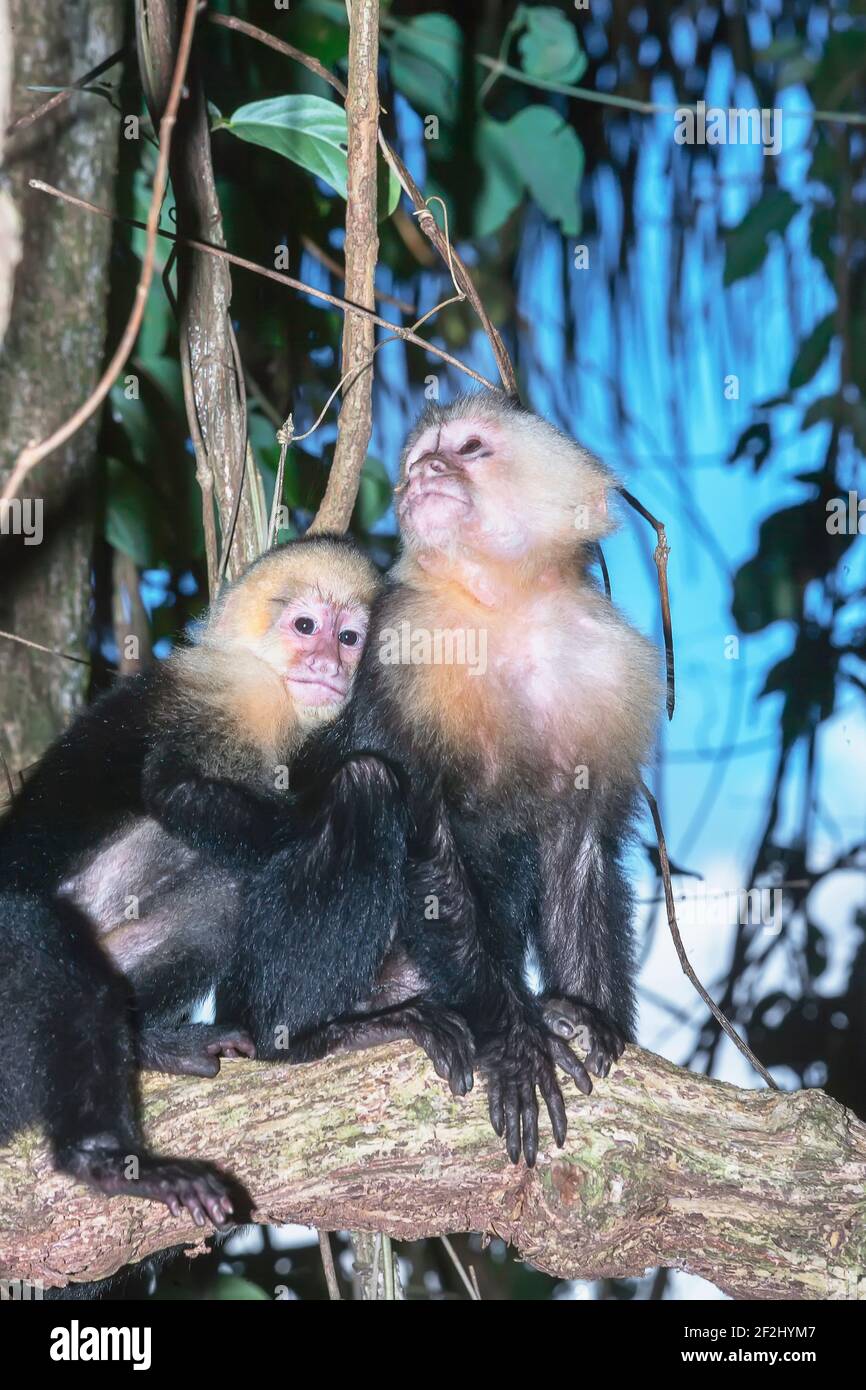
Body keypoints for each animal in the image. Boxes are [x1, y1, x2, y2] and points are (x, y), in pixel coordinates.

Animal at [285, 393, 663, 1167]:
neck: (505, 609)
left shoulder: (614, 667)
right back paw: (327, 1029)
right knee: (364, 786)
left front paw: (589, 1017)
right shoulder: (402, 643)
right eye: (418, 458)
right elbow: (429, 849)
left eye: (469, 449)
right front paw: (515, 1042)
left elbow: (579, 850)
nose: (425, 471)